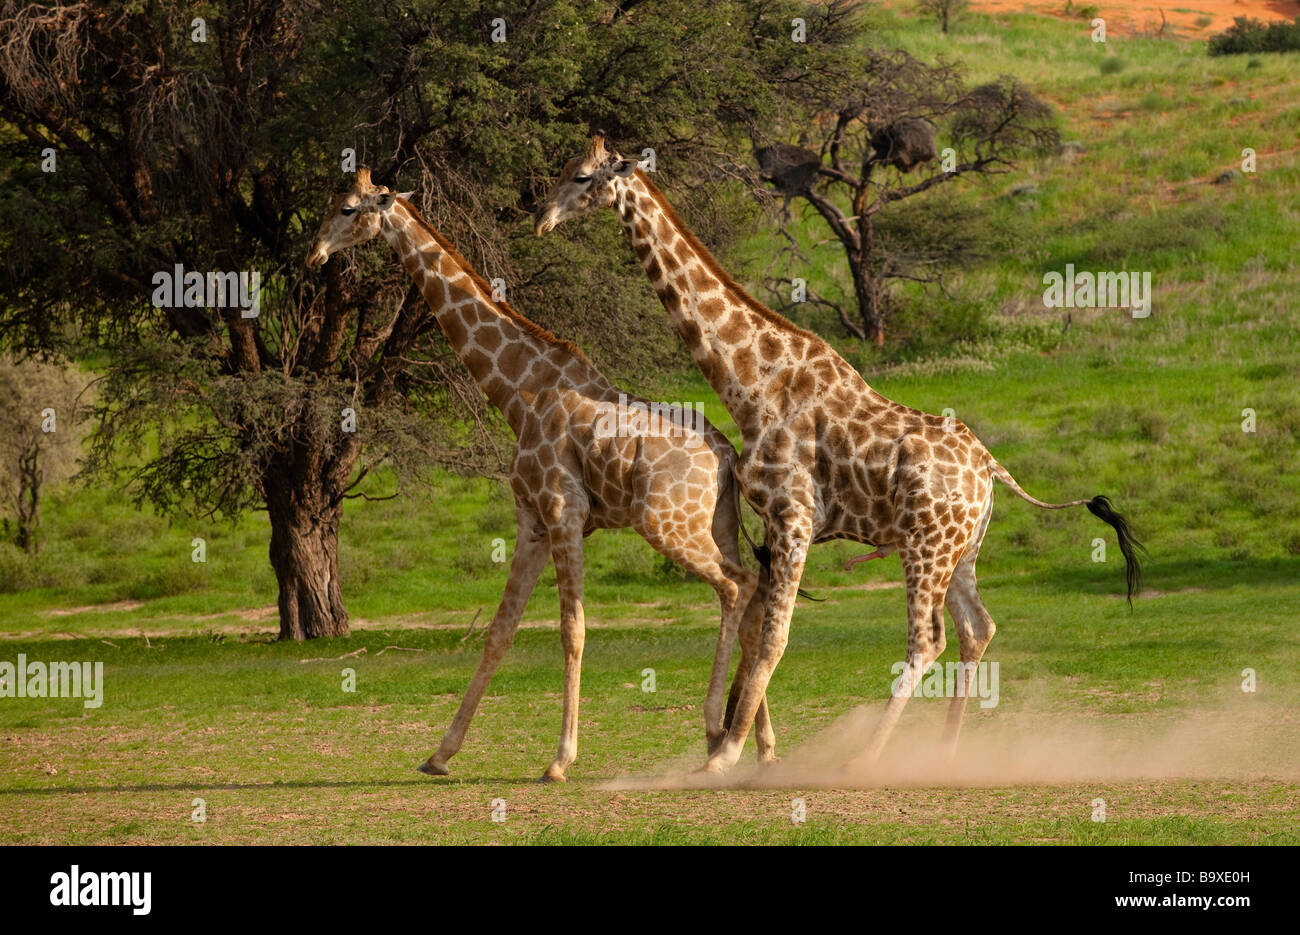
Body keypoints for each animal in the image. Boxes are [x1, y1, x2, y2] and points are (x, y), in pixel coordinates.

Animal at [306, 168, 777, 781]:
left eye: (345, 208)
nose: (314, 253)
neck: (517, 392)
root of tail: (725, 459)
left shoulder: (563, 513)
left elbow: (572, 630)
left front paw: (560, 760)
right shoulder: (530, 521)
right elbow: (498, 631)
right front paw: (440, 753)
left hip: (663, 524)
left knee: (735, 586)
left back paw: (717, 733)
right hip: (716, 525)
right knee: (752, 597)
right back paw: (760, 745)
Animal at [536, 135, 1145, 774]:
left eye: (582, 176)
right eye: (564, 170)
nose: (541, 218)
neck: (750, 384)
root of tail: (990, 470)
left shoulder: (795, 515)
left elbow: (775, 635)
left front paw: (726, 753)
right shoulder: (771, 523)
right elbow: (756, 626)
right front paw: (742, 744)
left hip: (926, 546)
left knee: (928, 638)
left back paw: (868, 757)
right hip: (963, 548)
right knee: (978, 628)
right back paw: (945, 754)